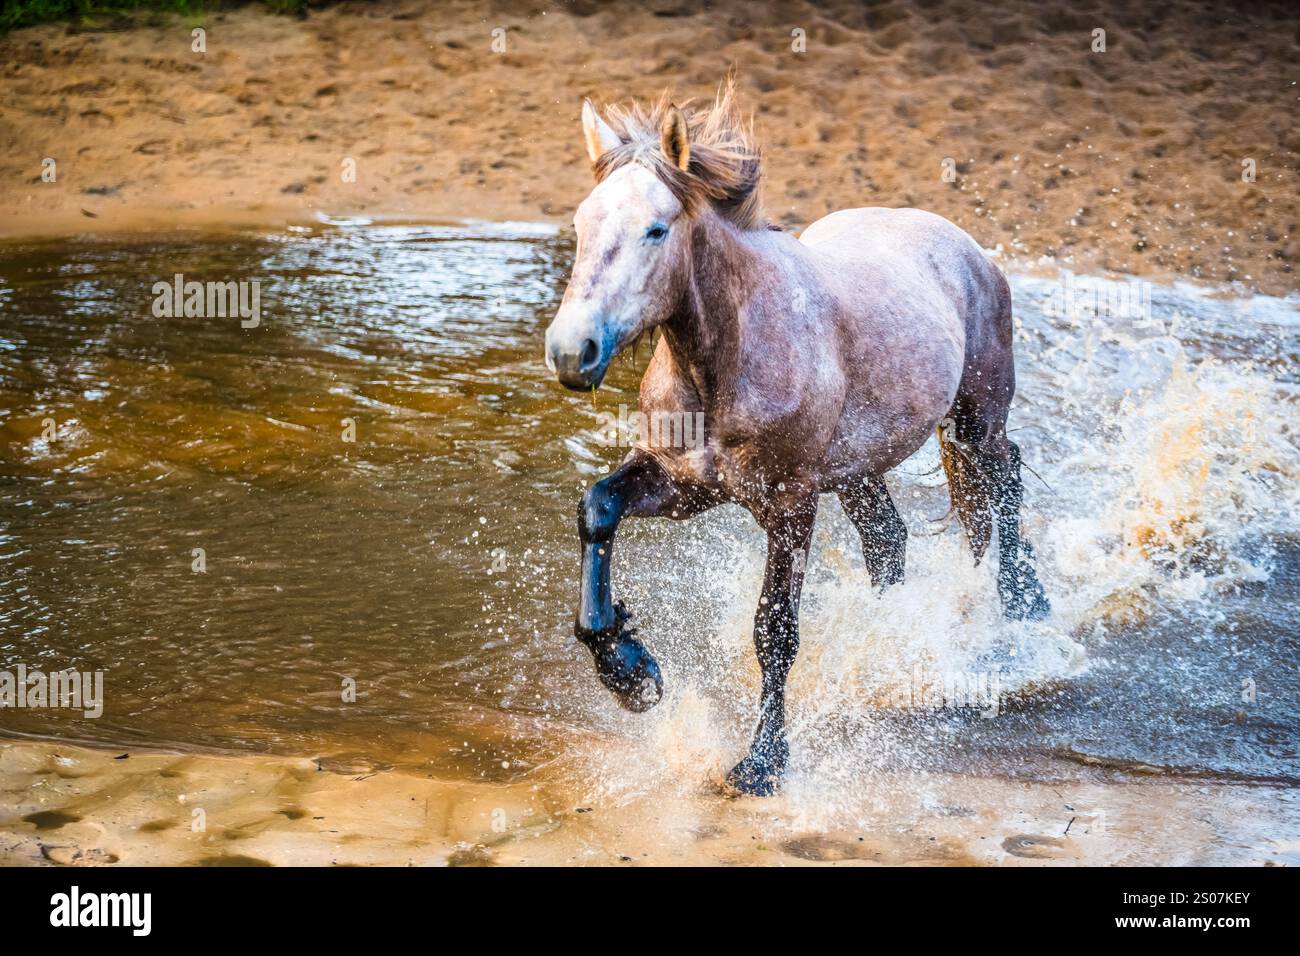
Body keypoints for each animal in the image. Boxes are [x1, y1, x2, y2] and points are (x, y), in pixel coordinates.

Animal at [542, 81, 1050, 796]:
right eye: (582, 225)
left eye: (656, 229)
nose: (571, 351)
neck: (727, 363)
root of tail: (969, 249)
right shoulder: (684, 486)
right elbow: (598, 508)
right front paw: (630, 672)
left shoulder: (789, 505)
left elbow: (773, 631)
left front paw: (762, 763)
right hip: (860, 470)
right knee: (889, 540)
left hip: (976, 420)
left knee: (1002, 485)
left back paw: (1025, 605)